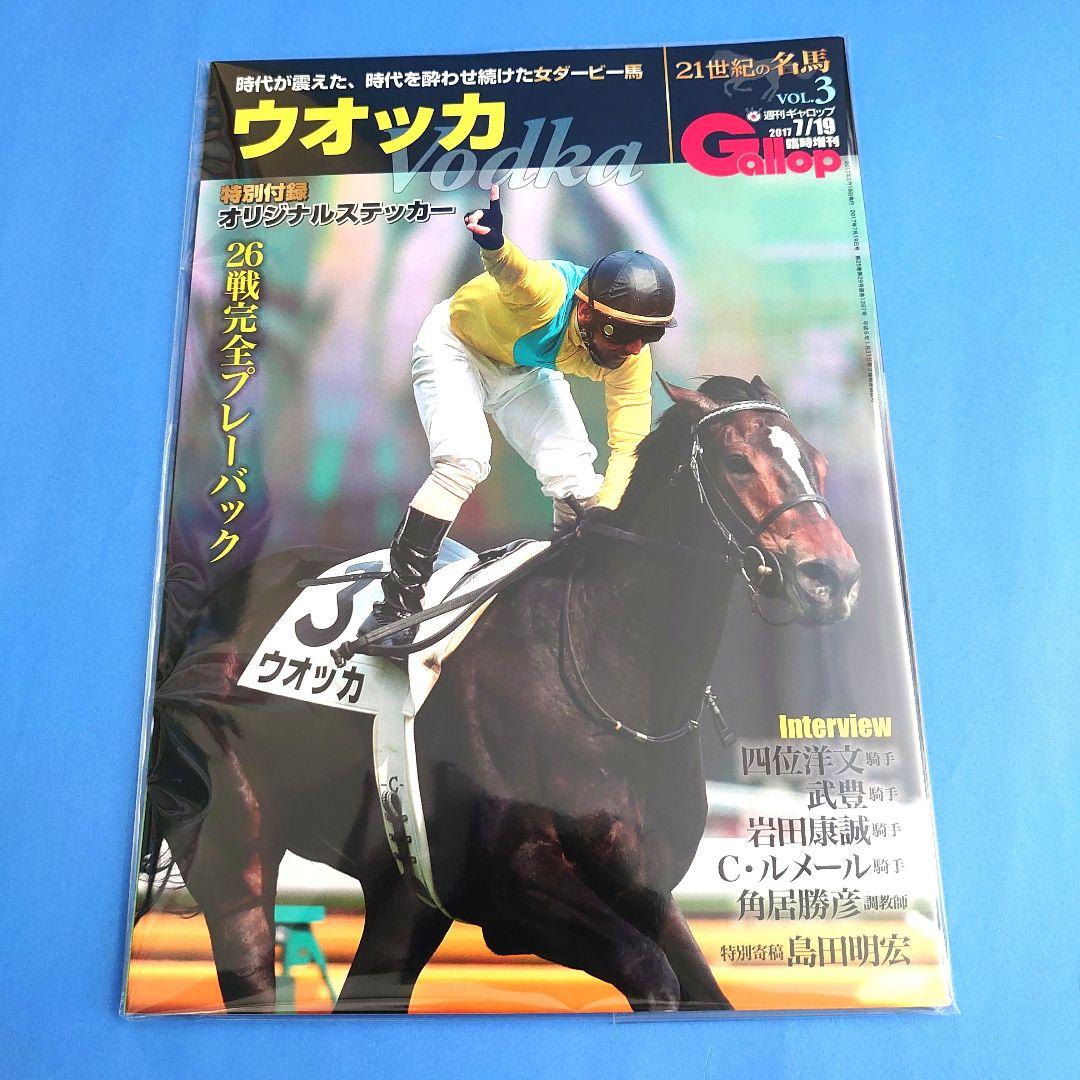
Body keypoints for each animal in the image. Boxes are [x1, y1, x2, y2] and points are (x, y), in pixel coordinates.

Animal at [136, 374, 860, 1013]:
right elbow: (652, 973)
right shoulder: (510, 886)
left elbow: (704, 986)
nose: (832, 576)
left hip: (406, 893)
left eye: (820, 464)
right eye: (738, 463)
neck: (611, 676)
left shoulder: (641, 884)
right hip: (235, 842)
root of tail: (207, 613)